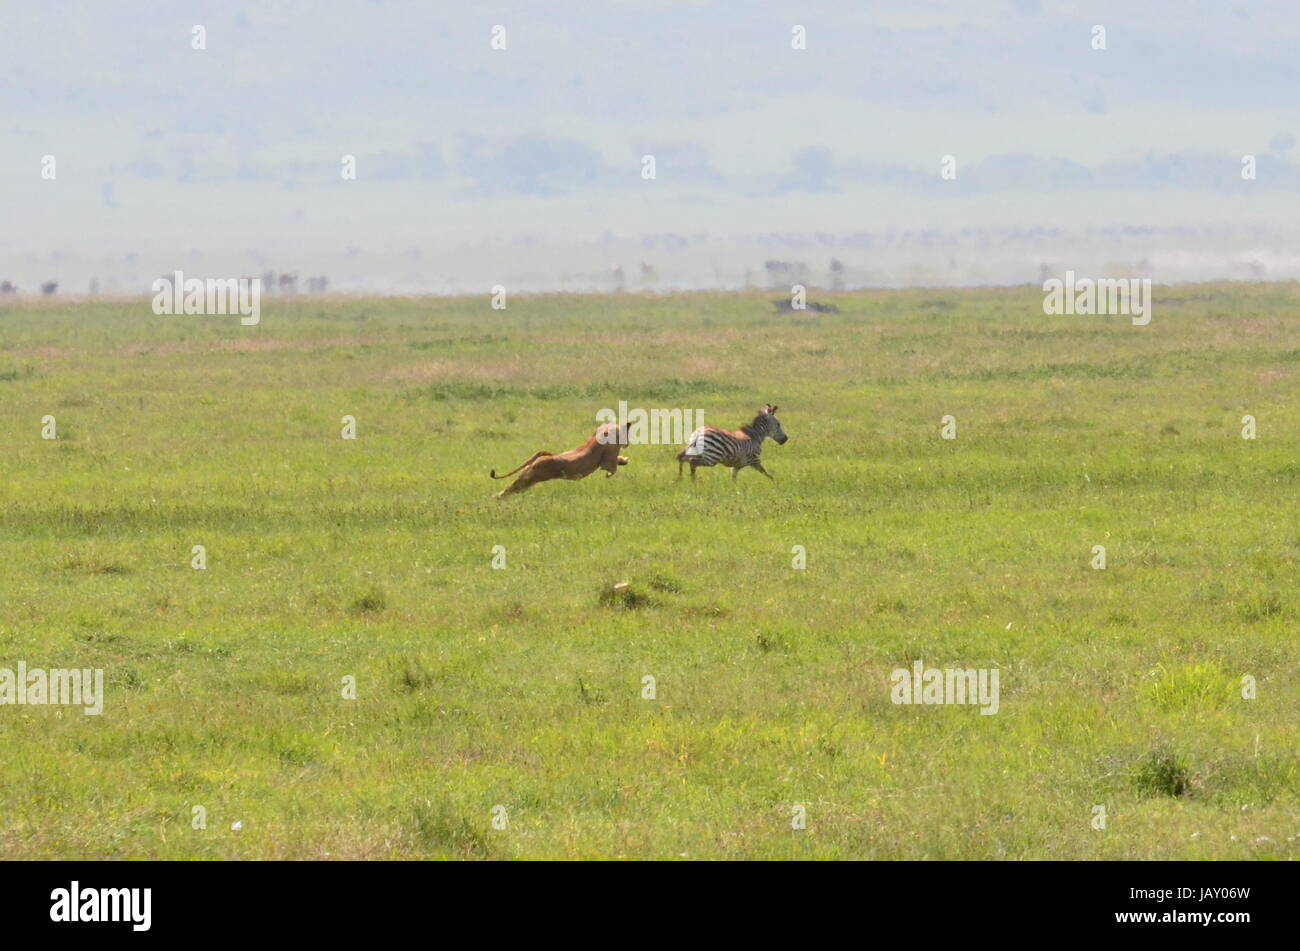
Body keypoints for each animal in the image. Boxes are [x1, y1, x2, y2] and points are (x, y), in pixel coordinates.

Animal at [490, 421, 630, 498]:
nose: (627, 444)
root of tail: (545, 454)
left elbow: (618, 461)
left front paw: (624, 460)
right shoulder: (607, 460)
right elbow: (613, 468)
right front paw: (610, 473)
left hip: (529, 476)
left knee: (512, 486)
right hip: (531, 477)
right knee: (511, 487)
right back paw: (497, 498)